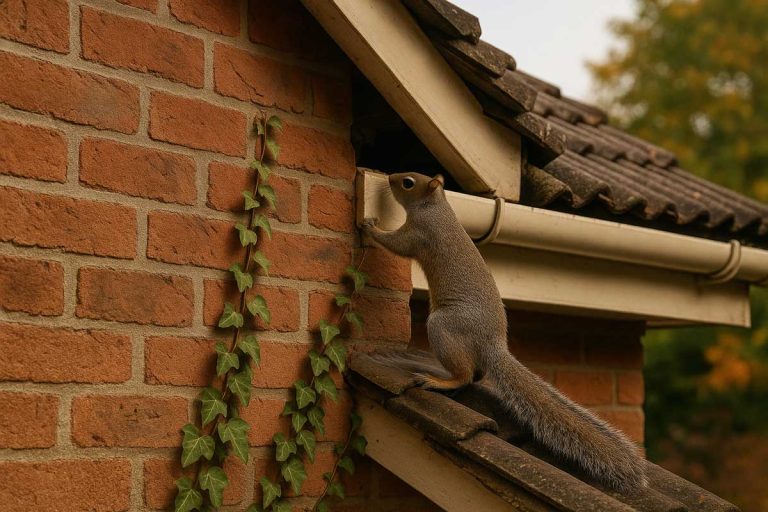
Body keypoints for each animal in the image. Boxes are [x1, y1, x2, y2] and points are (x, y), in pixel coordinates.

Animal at [362, 171, 647, 493]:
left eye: (408, 182)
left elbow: (397, 244)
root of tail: (492, 345)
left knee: (464, 374)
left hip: (443, 325)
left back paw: (439, 381)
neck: (435, 206)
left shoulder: (419, 234)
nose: (390, 177)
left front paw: (370, 227)